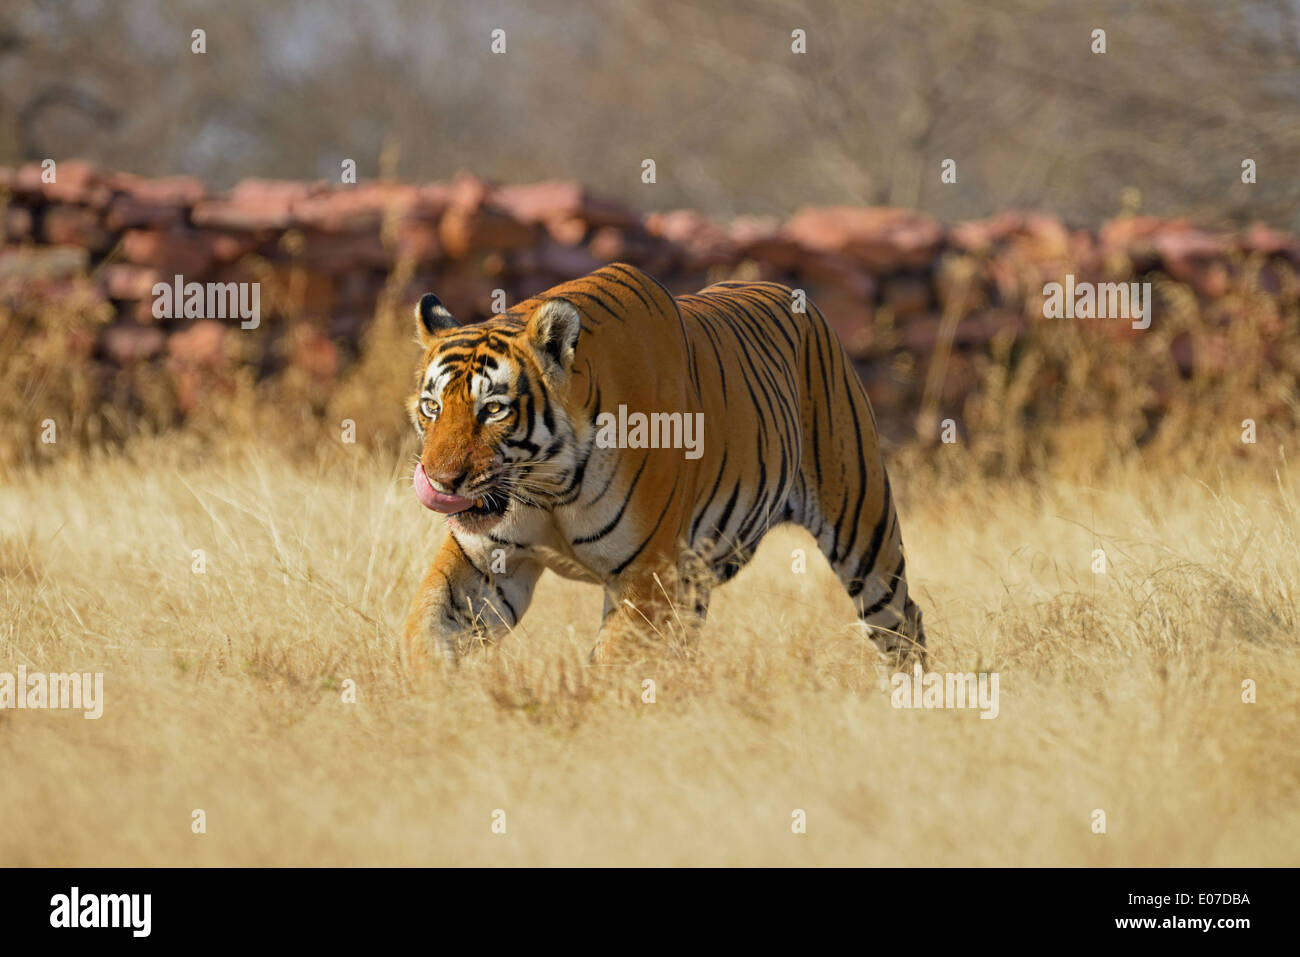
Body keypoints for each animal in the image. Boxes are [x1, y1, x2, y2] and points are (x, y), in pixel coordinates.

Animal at [402, 262, 926, 668]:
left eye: (493, 409)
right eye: (431, 407)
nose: (442, 482)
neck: (549, 485)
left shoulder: (645, 574)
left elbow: (612, 665)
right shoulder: (487, 561)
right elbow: (425, 622)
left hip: (863, 527)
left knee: (902, 623)